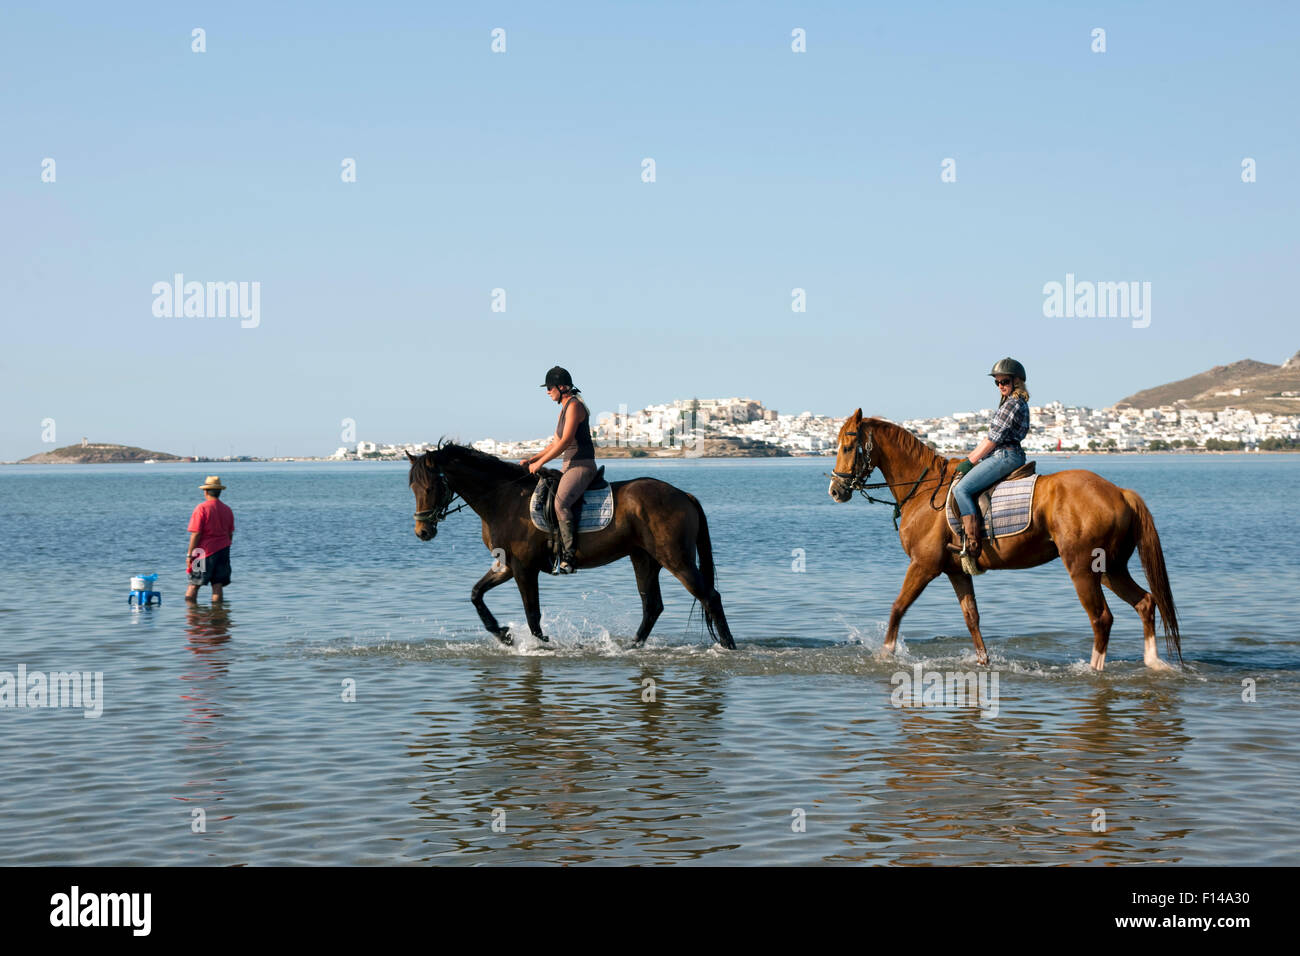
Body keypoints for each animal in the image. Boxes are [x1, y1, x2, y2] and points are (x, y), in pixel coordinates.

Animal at [407, 443, 736, 649]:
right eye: (412, 486)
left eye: (431, 486)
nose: (422, 531)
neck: (504, 499)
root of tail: (683, 494)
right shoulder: (507, 565)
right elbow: (476, 594)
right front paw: (504, 635)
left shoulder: (524, 568)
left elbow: (533, 614)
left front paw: (541, 645)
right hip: (644, 559)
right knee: (652, 605)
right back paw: (630, 647)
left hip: (676, 558)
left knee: (710, 597)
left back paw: (728, 647)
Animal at [827, 410, 1181, 671]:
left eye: (847, 447)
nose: (836, 490)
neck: (925, 489)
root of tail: (1119, 492)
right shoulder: (956, 572)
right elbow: (972, 618)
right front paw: (983, 662)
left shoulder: (923, 566)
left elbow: (898, 608)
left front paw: (885, 654)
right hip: (1109, 569)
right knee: (1145, 603)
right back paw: (1153, 662)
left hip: (1082, 568)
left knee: (1101, 618)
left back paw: (1094, 670)